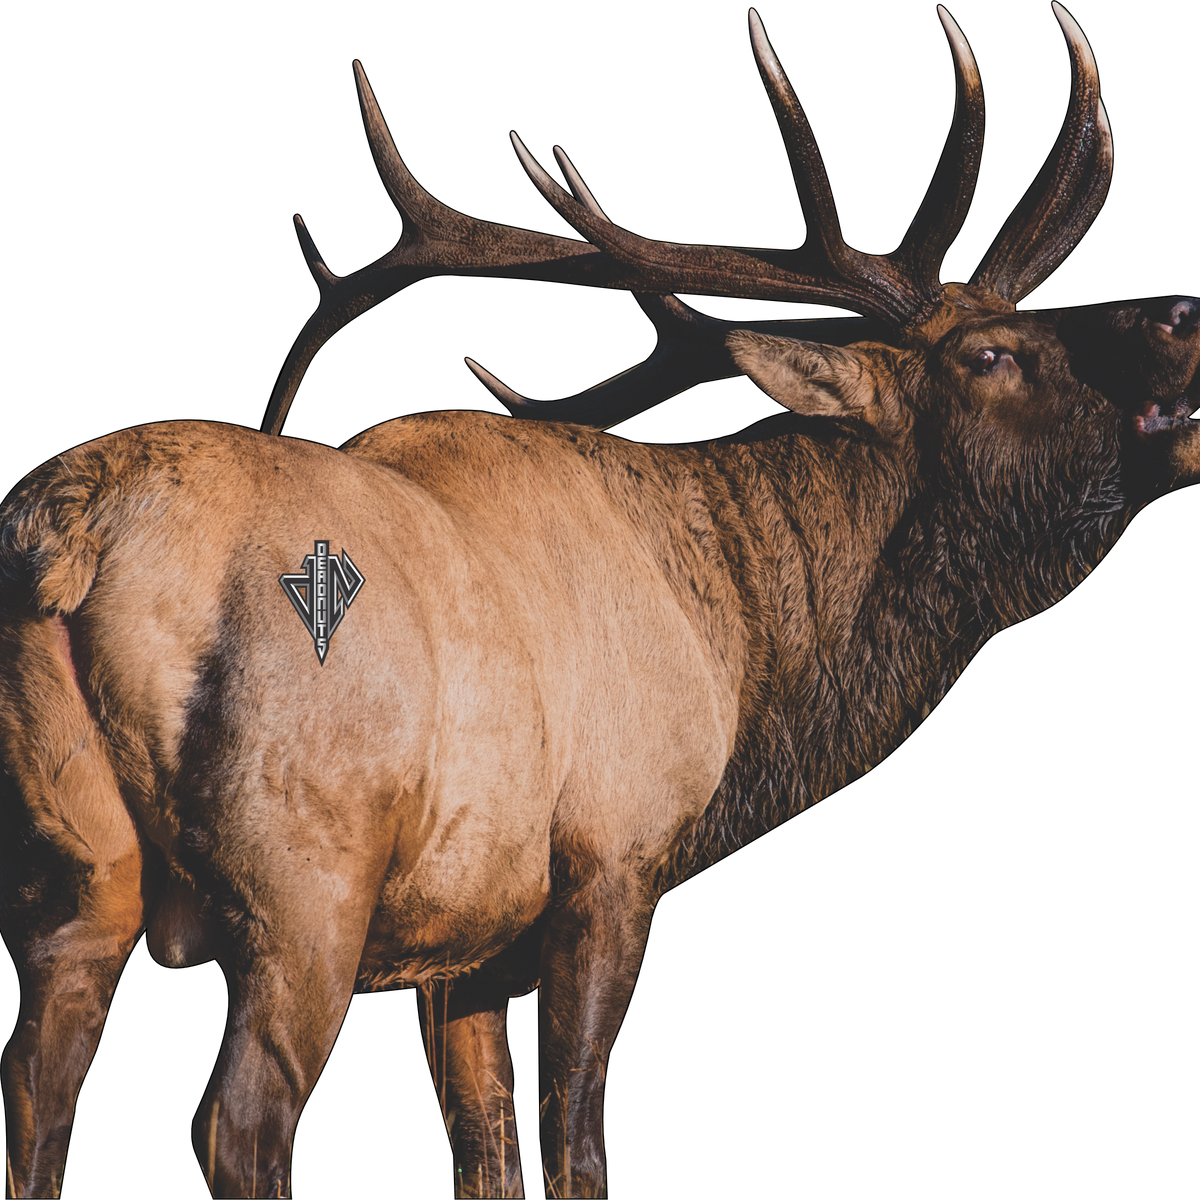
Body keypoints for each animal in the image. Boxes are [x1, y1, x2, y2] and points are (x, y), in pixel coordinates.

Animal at [2, 6, 1195, 1197]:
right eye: (991, 353)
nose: (1180, 315)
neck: (733, 654)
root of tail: (72, 532)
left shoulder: (471, 937)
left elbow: (486, 1149)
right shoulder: (613, 858)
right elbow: (575, 1134)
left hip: (68, 866)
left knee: (32, 1083)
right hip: (303, 878)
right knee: (241, 1120)